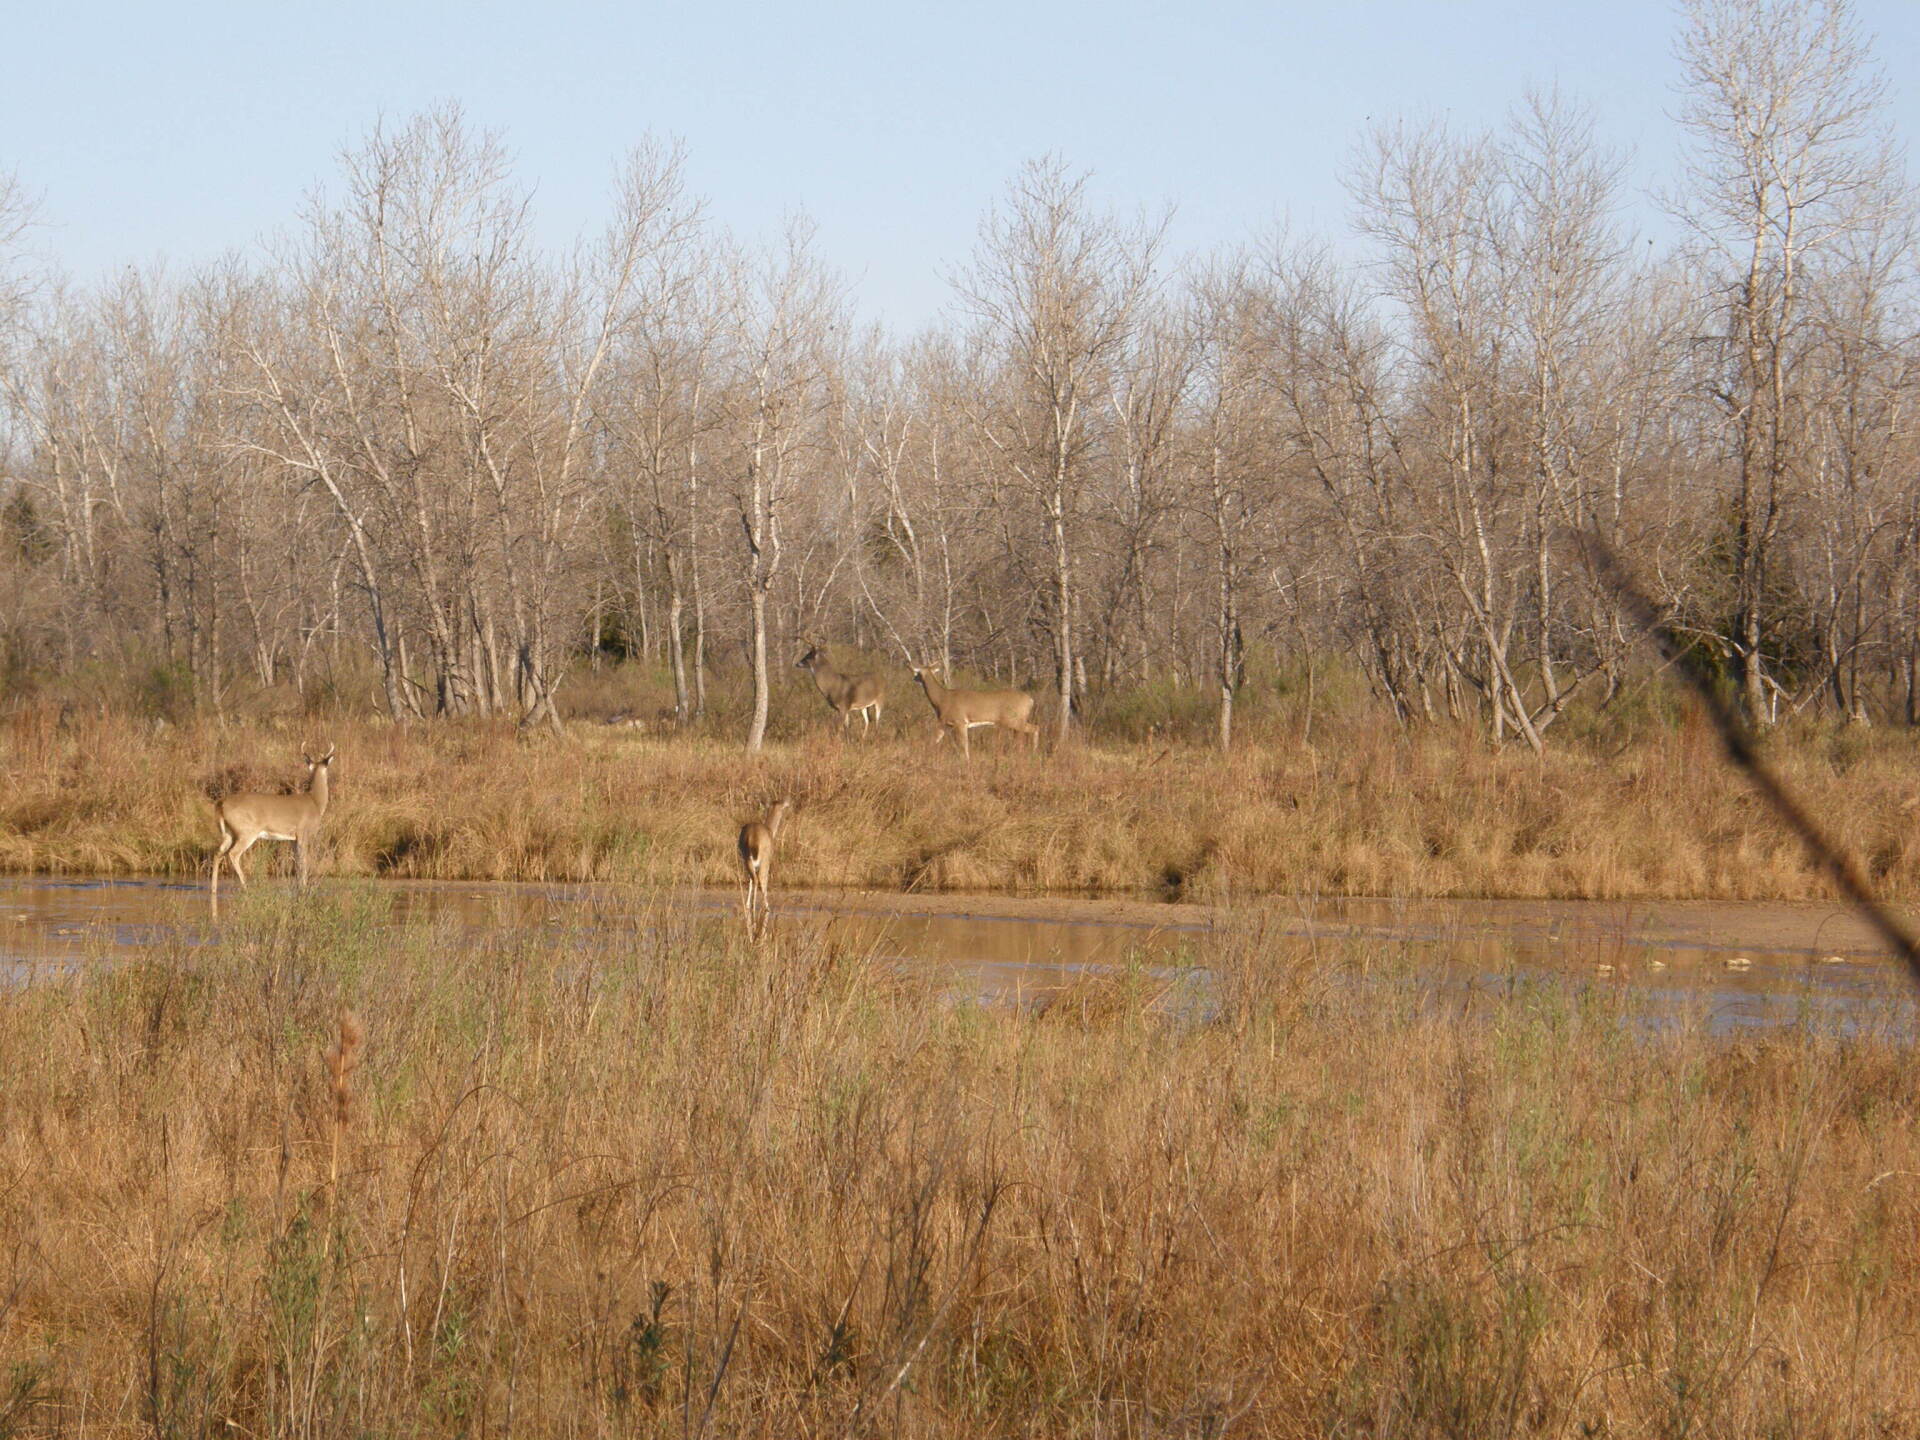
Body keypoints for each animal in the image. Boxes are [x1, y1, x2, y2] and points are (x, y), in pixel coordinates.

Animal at [210, 746, 336, 901]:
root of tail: (221, 803)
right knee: (233, 854)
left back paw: (214, 889)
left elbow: (297, 861)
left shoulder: (293, 838)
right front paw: (304, 889)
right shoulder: (303, 832)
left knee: (218, 853)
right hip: (246, 832)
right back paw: (247, 887)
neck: (315, 802)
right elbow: (303, 861)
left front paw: (299, 887)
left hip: (228, 833)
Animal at [737, 798, 791, 939]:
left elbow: (750, 881)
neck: (771, 830)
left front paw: (748, 904)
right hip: (764, 860)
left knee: (753, 878)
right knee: (760, 879)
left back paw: (749, 905)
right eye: (783, 808)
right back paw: (764, 907)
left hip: (745, 857)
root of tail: (752, 838)